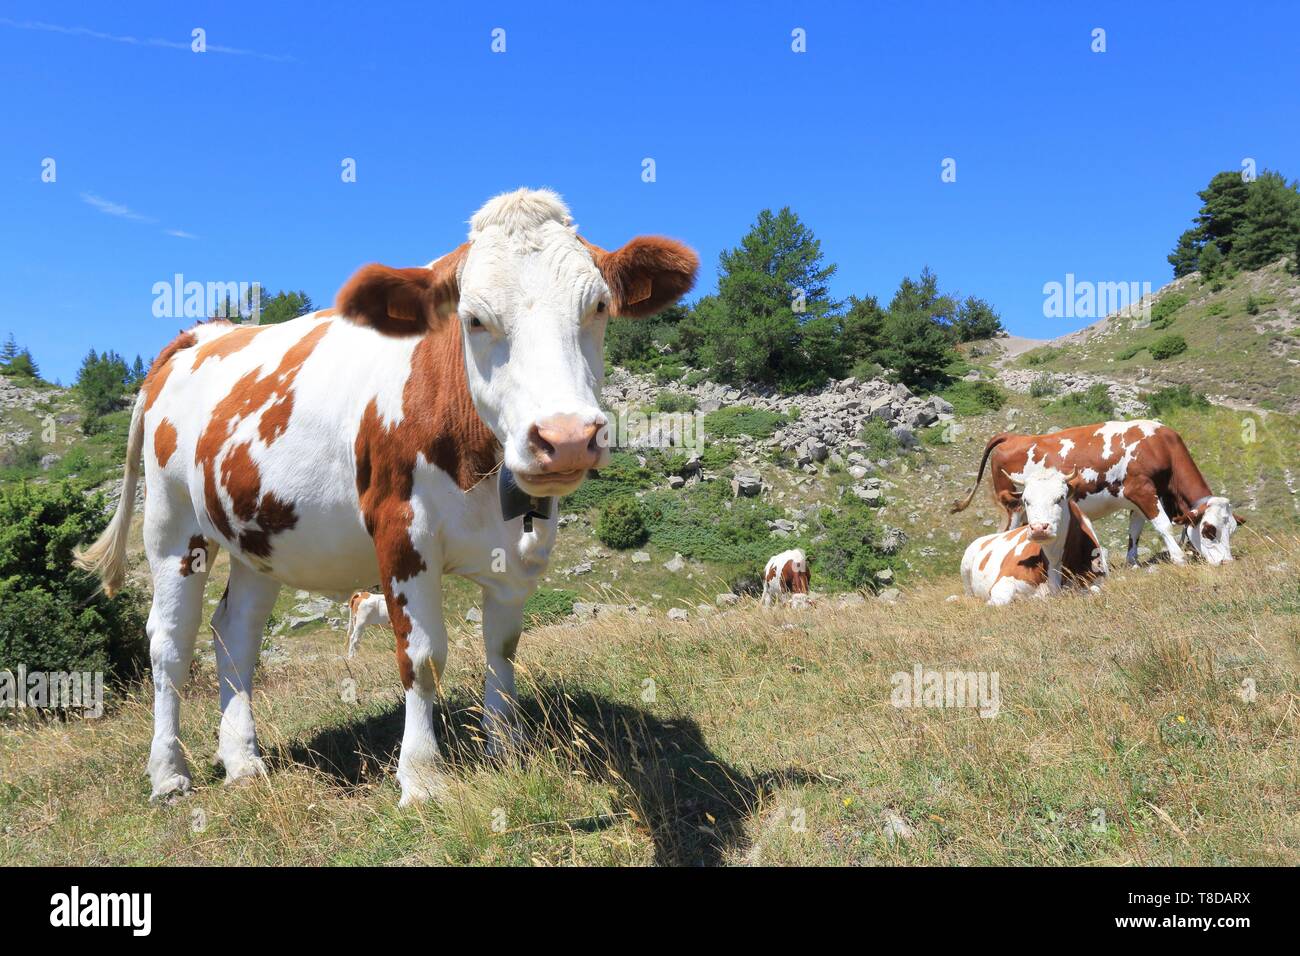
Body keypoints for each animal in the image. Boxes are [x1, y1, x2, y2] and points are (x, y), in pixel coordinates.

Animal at [75, 189, 698, 804]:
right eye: (474, 319)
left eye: (598, 307)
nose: (565, 436)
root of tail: (203, 333)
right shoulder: (402, 532)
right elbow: (422, 657)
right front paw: (421, 777)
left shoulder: (519, 546)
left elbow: (503, 647)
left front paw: (507, 750)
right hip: (172, 522)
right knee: (170, 643)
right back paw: (168, 773)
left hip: (258, 531)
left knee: (235, 634)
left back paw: (243, 761)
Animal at [950, 420, 1244, 566]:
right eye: (1209, 530)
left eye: (1232, 530)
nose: (1227, 562)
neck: (1160, 446)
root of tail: (1012, 437)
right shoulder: (1142, 489)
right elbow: (1162, 525)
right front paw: (1179, 559)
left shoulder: (1136, 500)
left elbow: (1134, 532)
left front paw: (1132, 563)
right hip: (1012, 505)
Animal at [960, 466, 1107, 605]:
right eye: (1026, 500)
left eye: (1060, 498)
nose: (1038, 528)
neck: (1054, 559)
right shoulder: (1003, 580)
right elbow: (1000, 601)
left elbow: (1095, 591)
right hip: (965, 568)